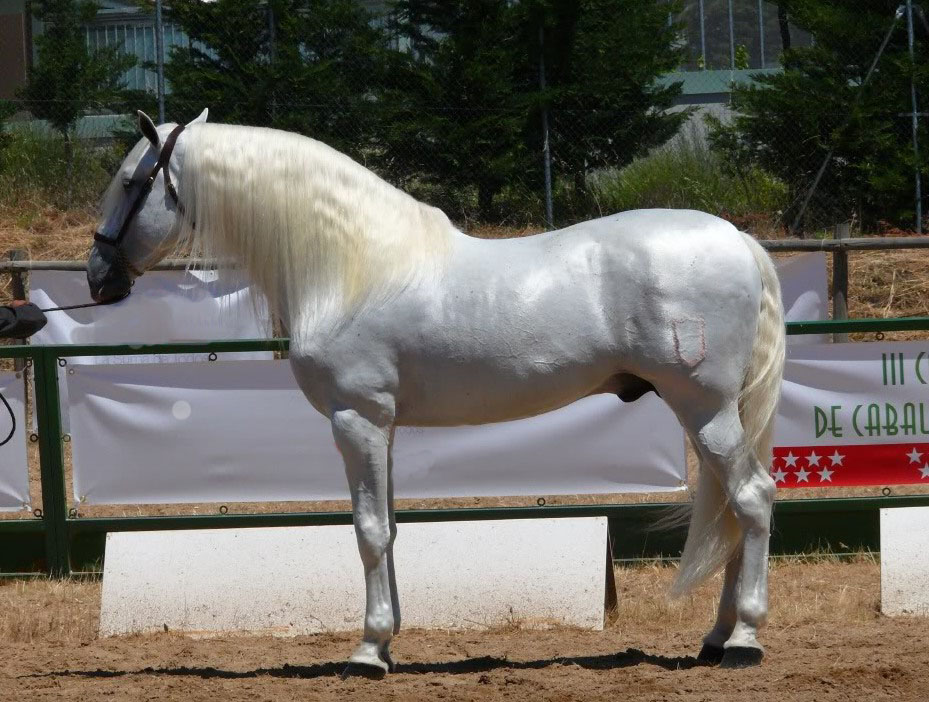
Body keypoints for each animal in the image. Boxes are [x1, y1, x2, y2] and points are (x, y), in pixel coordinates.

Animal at [87, 109, 785, 678]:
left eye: (127, 182)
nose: (98, 277)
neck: (352, 268)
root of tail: (737, 239)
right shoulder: (383, 426)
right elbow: (391, 527)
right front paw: (387, 642)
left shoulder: (356, 419)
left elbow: (369, 530)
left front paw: (368, 652)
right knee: (732, 508)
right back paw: (717, 637)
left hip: (703, 409)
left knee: (751, 500)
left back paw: (744, 641)